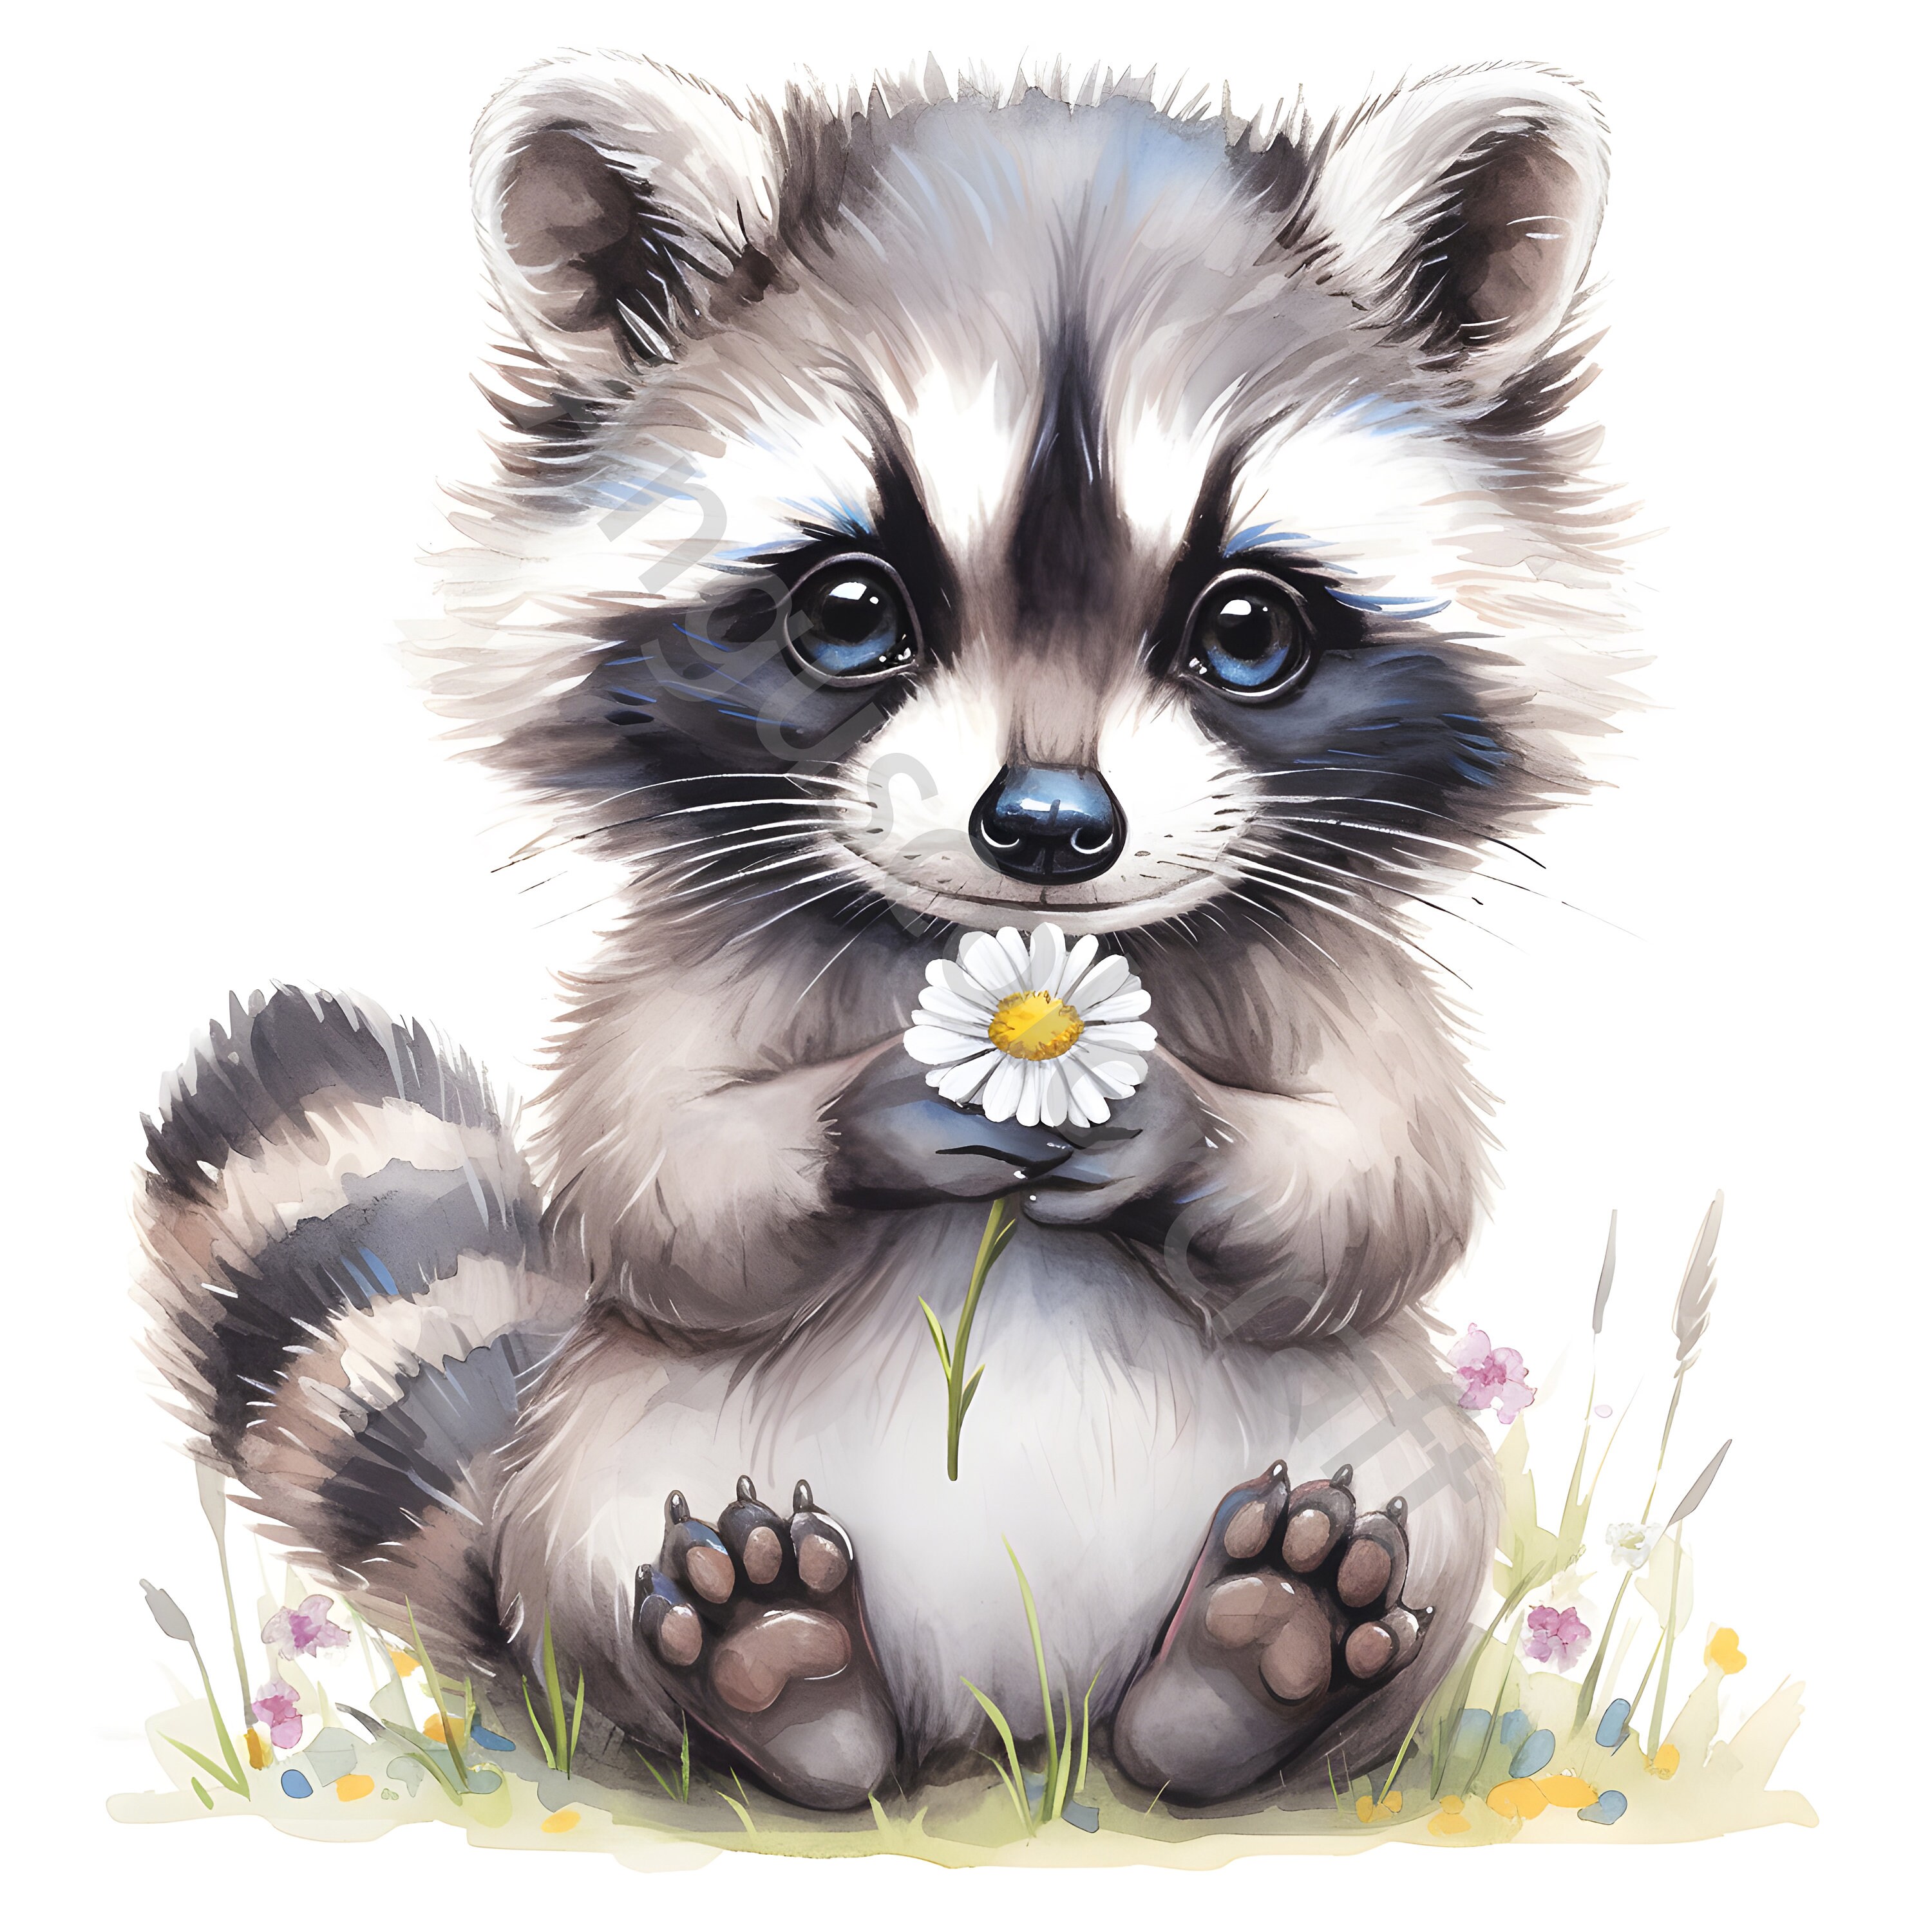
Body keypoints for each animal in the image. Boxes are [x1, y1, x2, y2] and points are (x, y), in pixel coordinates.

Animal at [136, 53, 1630, 1811]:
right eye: (849, 613)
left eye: (1248, 629)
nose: (1049, 828)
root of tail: (1011, 1718)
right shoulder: (695, 956)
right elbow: (656, 1179)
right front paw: (871, 1116)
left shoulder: (1327, 960)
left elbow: (1382, 1180)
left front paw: (1182, 1130)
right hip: (593, 1471)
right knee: (630, 1559)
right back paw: (783, 1684)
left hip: (1397, 1463)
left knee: (1407, 1521)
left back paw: (1249, 1671)